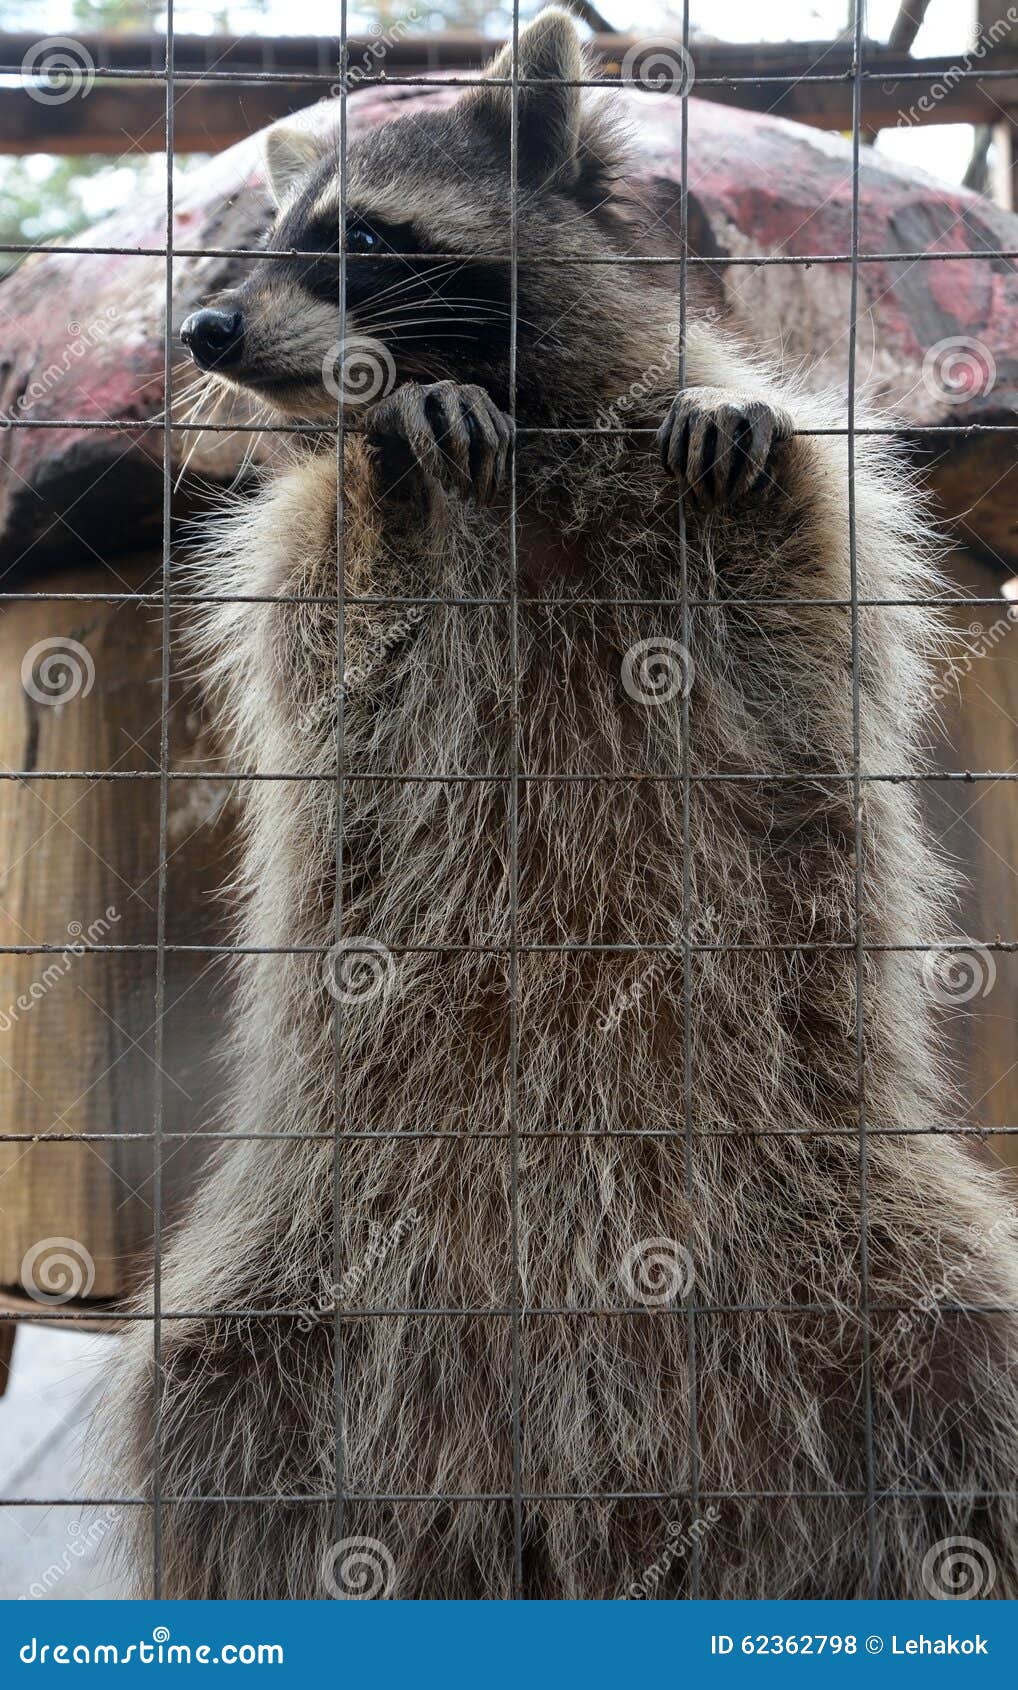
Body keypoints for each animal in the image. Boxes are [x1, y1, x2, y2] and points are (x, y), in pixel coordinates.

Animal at [102, 10, 1018, 1599]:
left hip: (887, 1270)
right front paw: (396, 460)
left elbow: (814, 600)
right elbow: (322, 617)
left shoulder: (765, 522)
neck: (519, 433)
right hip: (300, 1311)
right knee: (216, 1415)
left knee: (973, 1369)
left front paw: (741, 451)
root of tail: (589, 1505)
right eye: (257, 241)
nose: (202, 332)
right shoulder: (300, 559)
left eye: (353, 235)